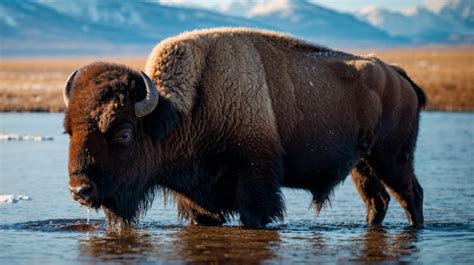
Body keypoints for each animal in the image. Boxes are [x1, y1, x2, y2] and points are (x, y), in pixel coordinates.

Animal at [64, 27, 426, 229]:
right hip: (362, 165)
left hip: (392, 158)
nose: (80, 190)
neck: (186, 111)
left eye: (124, 133)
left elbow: (254, 214)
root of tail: (397, 74)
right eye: (69, 130)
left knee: (411, 195)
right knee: (378, 201)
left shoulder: (255, 180)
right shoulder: (198, 201)